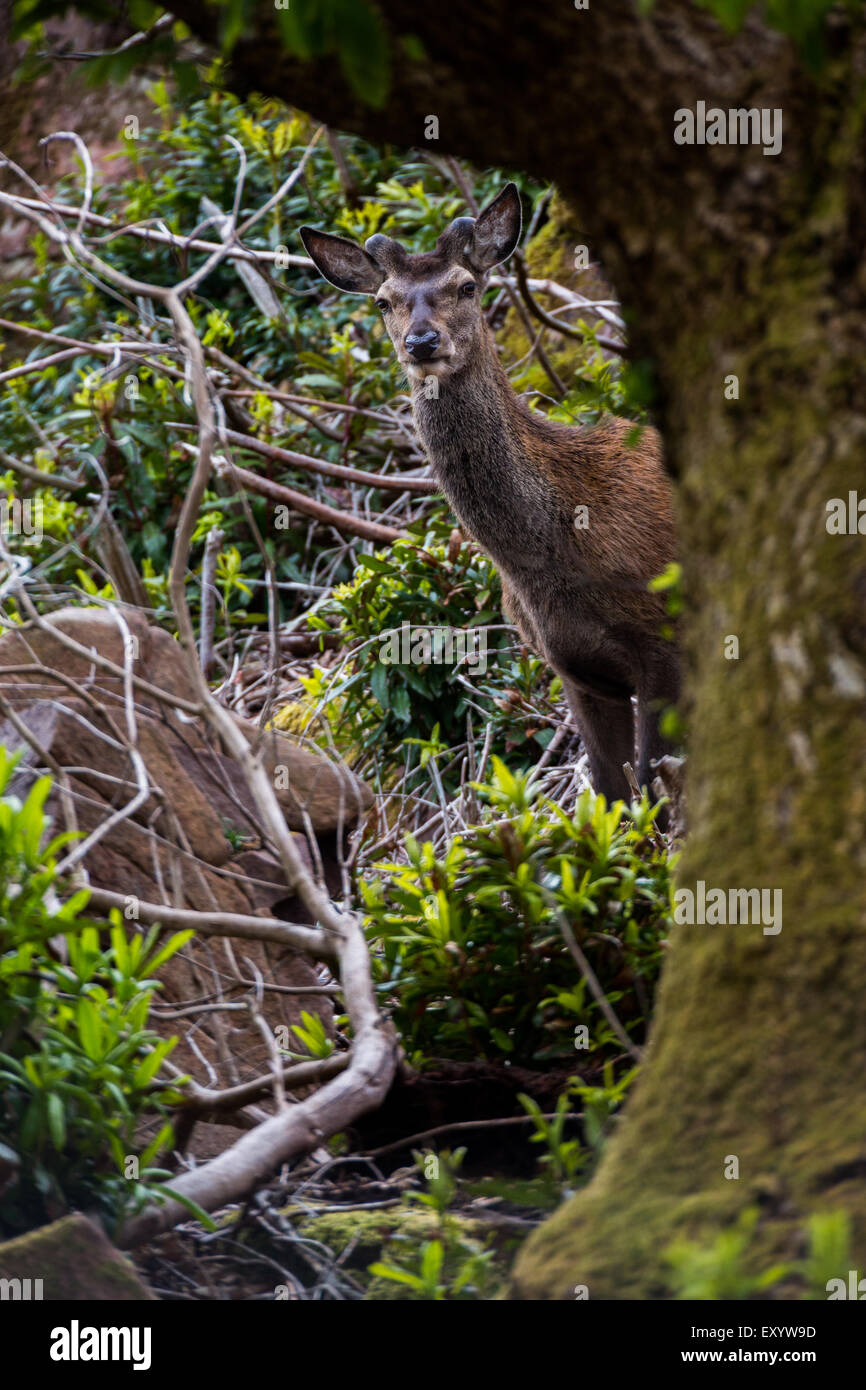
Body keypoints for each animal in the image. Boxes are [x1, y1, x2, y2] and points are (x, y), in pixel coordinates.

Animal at [300, 183, 680, 811]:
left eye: (466, 286)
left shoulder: (664, 644)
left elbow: (654, 790)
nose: (422, 341)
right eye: (382, 302)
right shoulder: (573, 667)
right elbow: (610, 793)